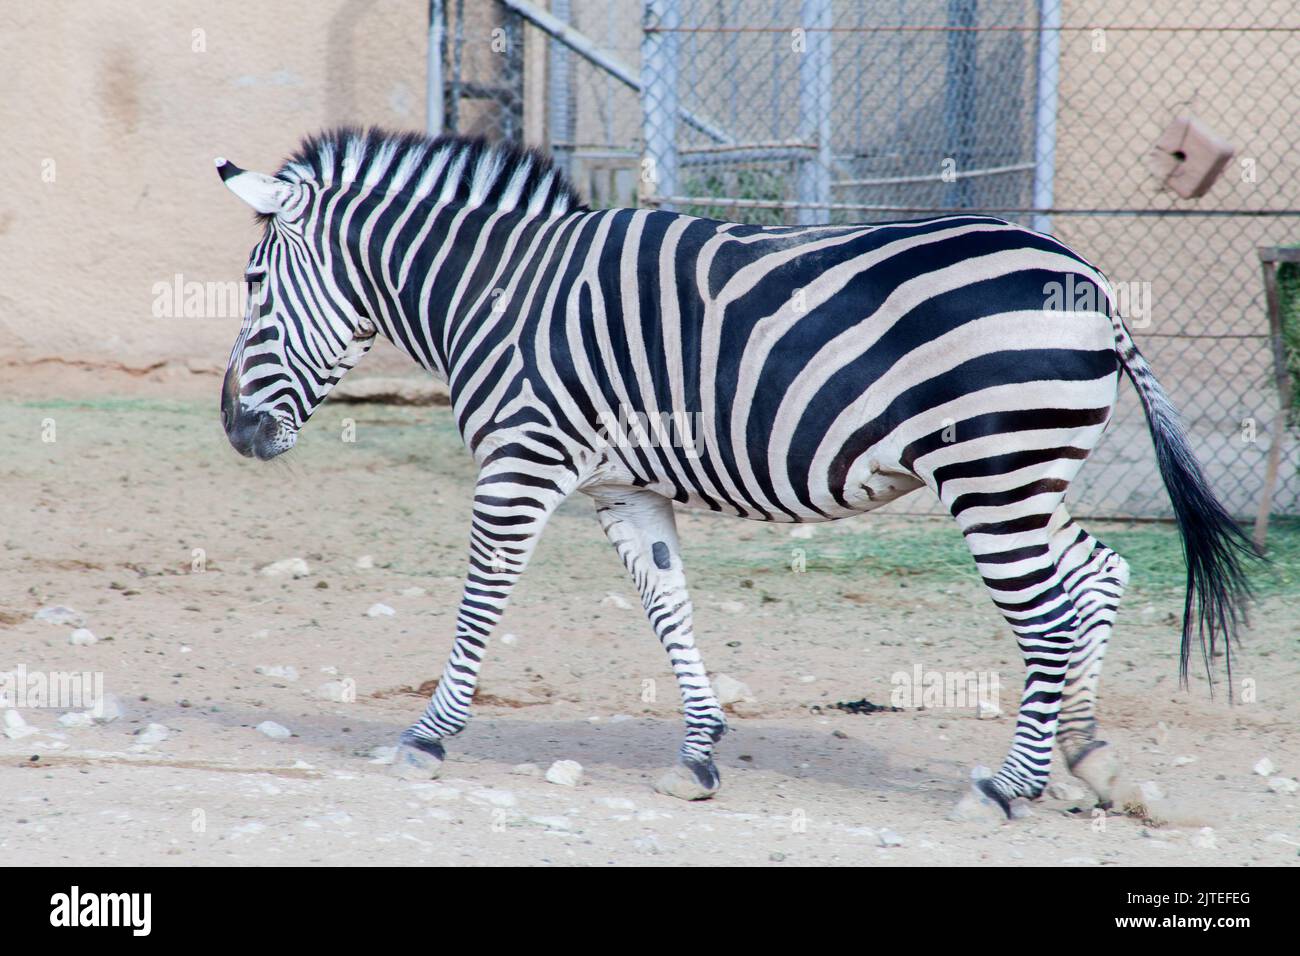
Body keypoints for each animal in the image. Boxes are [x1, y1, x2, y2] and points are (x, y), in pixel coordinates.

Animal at [215, 128, 1254, 817]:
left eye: (255, 286)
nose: (234, 429)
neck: (500, 294)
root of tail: (1093, 280)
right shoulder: (623, 487)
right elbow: (667, 607)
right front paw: (699, 755)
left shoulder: (522, 461)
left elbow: (480, 601)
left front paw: (427, 737)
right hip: (1026, 472)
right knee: (1097, 573)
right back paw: (1089, 759)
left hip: (992, 471)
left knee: (1048, 614)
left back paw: (1007, 787)